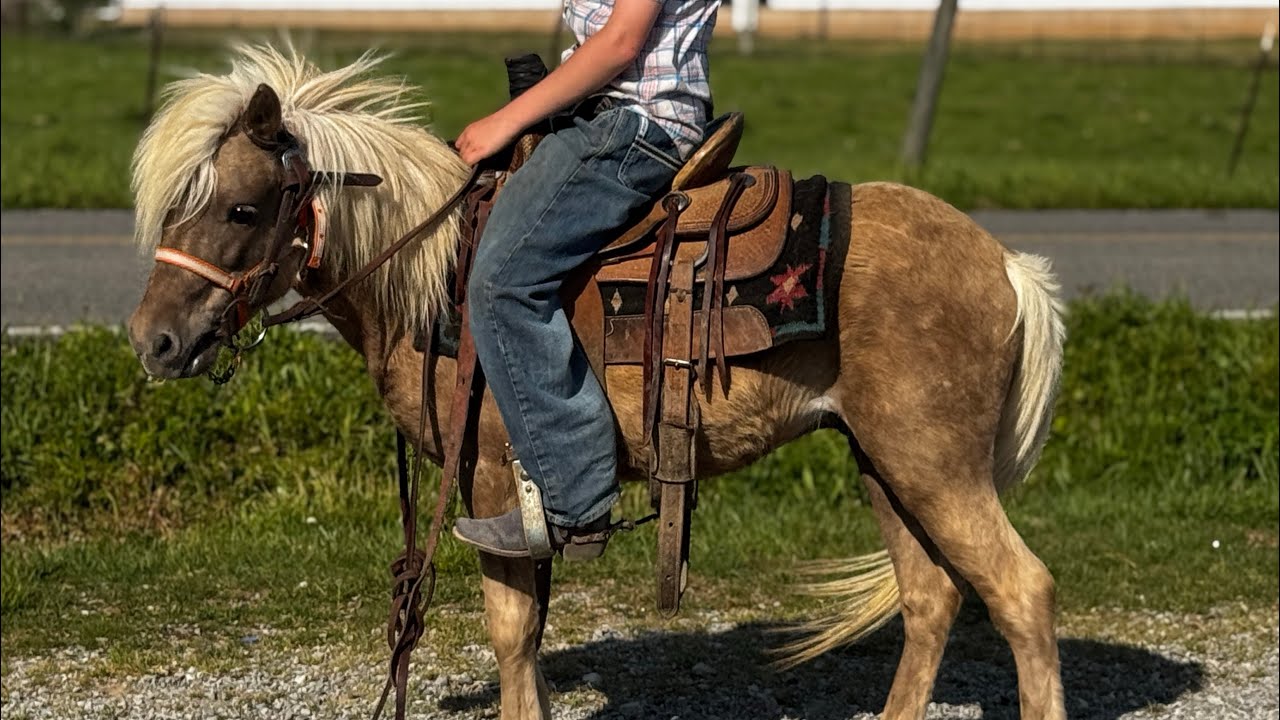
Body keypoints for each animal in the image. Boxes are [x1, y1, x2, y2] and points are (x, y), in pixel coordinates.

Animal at [126, 44, 1067, 720]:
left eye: (243, 209)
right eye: (174, 206)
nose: (154, 341)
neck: (432, 272)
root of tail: (1005, 264)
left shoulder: (492, 482)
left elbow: (511, 632)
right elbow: (531, 633)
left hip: (932, 464)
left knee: (1020, 592)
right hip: (884, 462)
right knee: (931, 598)